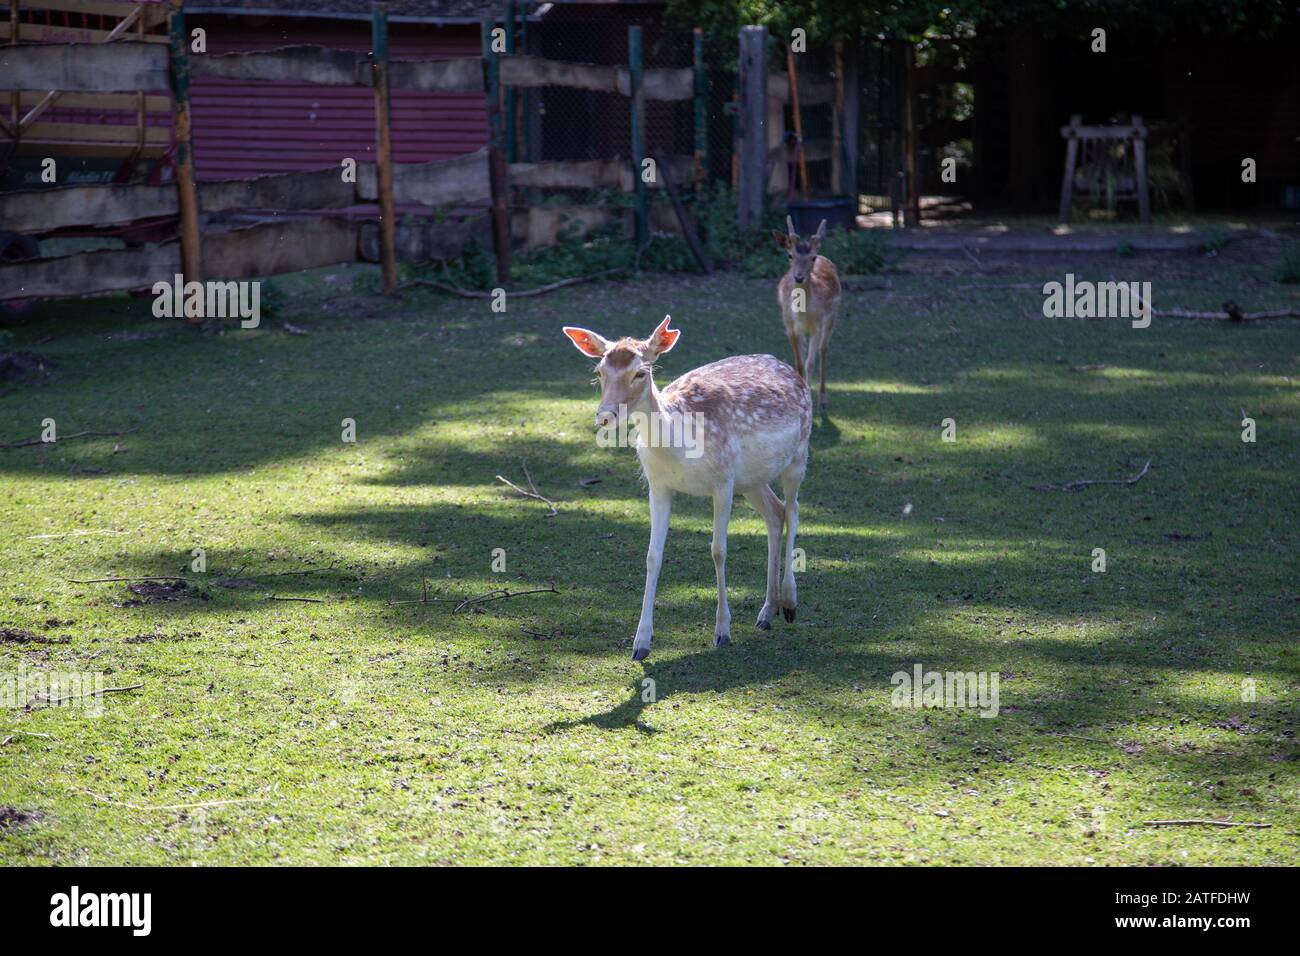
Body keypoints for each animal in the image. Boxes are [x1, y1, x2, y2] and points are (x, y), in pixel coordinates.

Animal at [563, 316, 811, 661]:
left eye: (640, 372)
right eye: (599, 371)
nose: (604, 416)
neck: (679, 447)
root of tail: (791, 370)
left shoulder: (722, 481)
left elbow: (718, 550)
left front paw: (722, 631)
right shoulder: (657, 485)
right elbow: (652, 555)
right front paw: (641, 643)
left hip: (797, 455)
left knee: (794, 509)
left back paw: (789, 603)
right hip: (751, 479)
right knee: (775, 514)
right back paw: (766, 612)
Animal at [774, 217, 841, 411]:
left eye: (812, 257)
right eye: (789, 255)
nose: (798, 277)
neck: (802, 314)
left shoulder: (817, 326)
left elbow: (810, 364)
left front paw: (809, 399)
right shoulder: (789, 328)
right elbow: (799, 364)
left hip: (832, 317)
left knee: (823, 350)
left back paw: (823, 400)